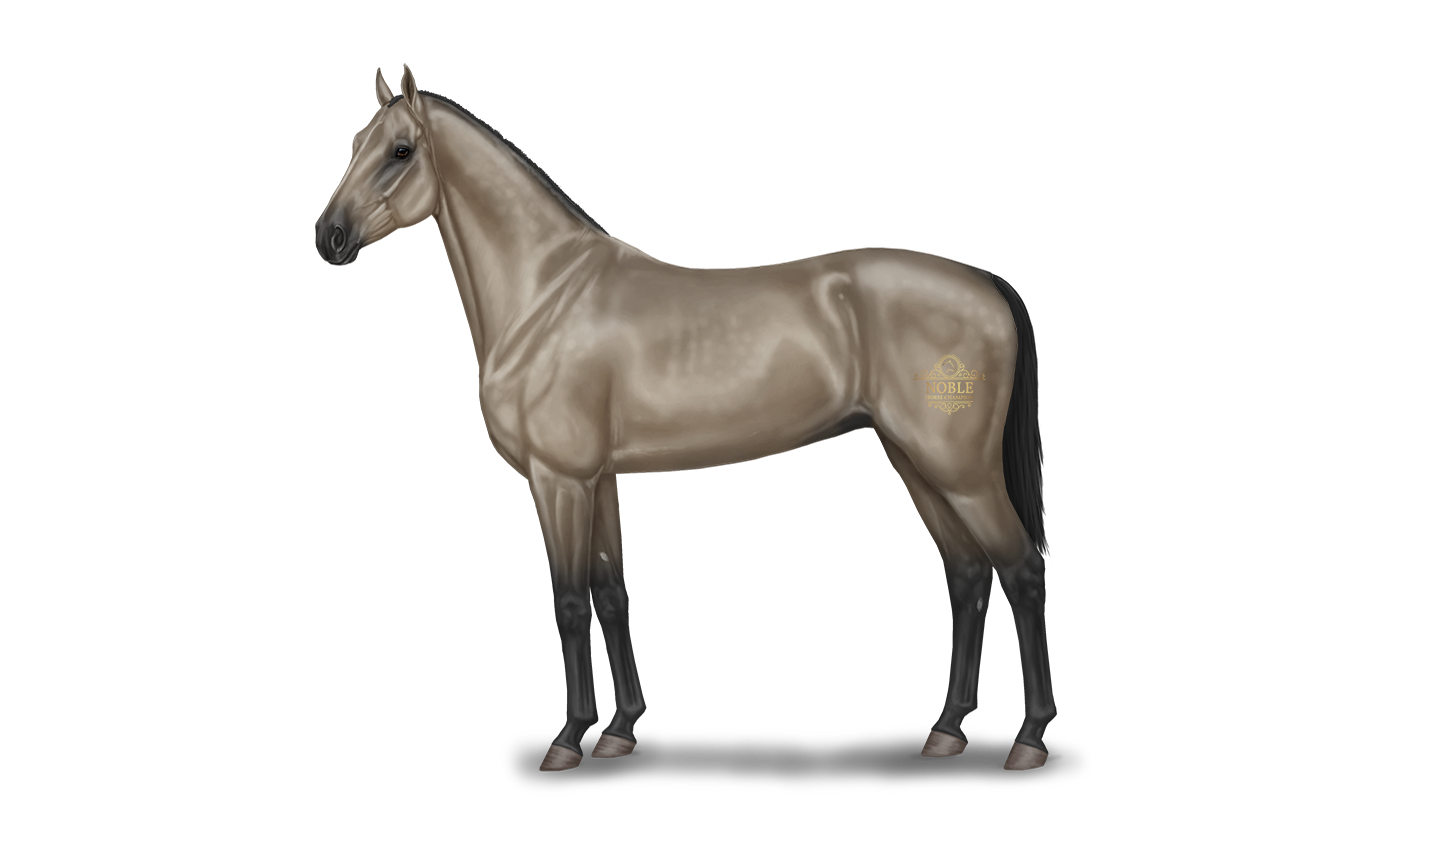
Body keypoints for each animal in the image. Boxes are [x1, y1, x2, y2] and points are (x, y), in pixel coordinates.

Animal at [316, 64, 1057, 772]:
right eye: (356, 145)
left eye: (401, 149)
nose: (330, 236)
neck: (547, 297)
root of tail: (984, 282)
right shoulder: (595, 482)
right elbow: (611, 595)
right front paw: (619, 731)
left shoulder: (560, 481)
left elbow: (569, 603)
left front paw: (569, 739)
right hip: (917, 462)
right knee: (967, 577)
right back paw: (948, 729)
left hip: (961, 470)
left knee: (1019, 572)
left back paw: (1030, 738)